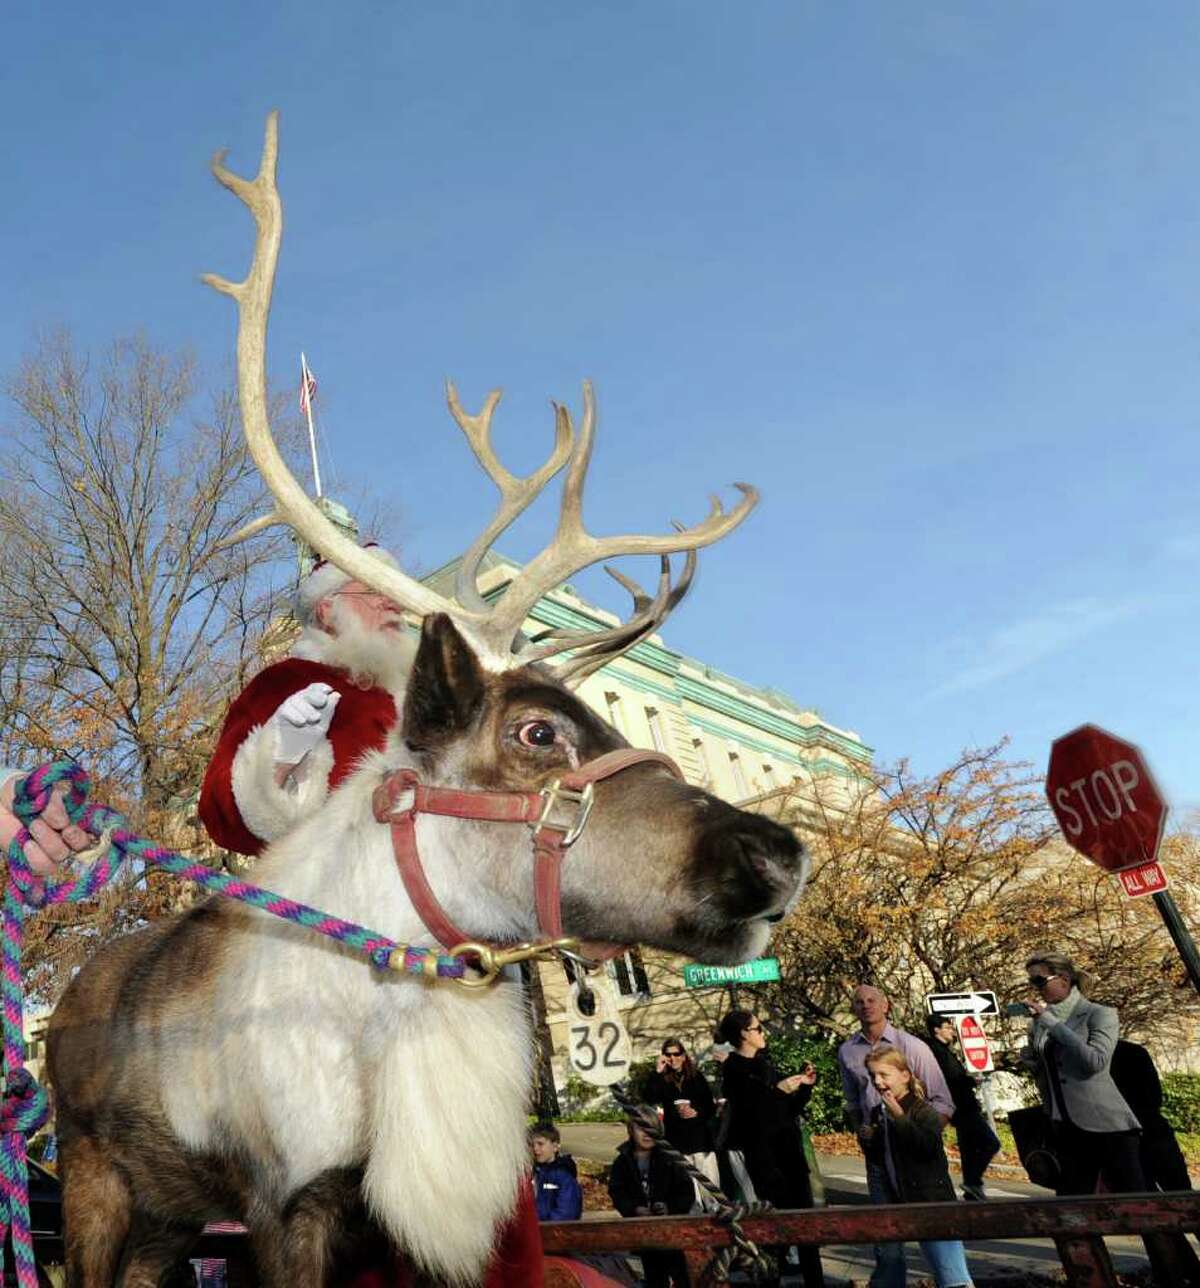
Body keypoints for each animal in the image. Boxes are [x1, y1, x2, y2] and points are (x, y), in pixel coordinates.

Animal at [46, 113, 808, 1288]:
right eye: (536, 730)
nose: (780, 853)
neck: (381, 1011)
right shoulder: (286, 1202)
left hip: (168, 1213)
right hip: (96, 1178)